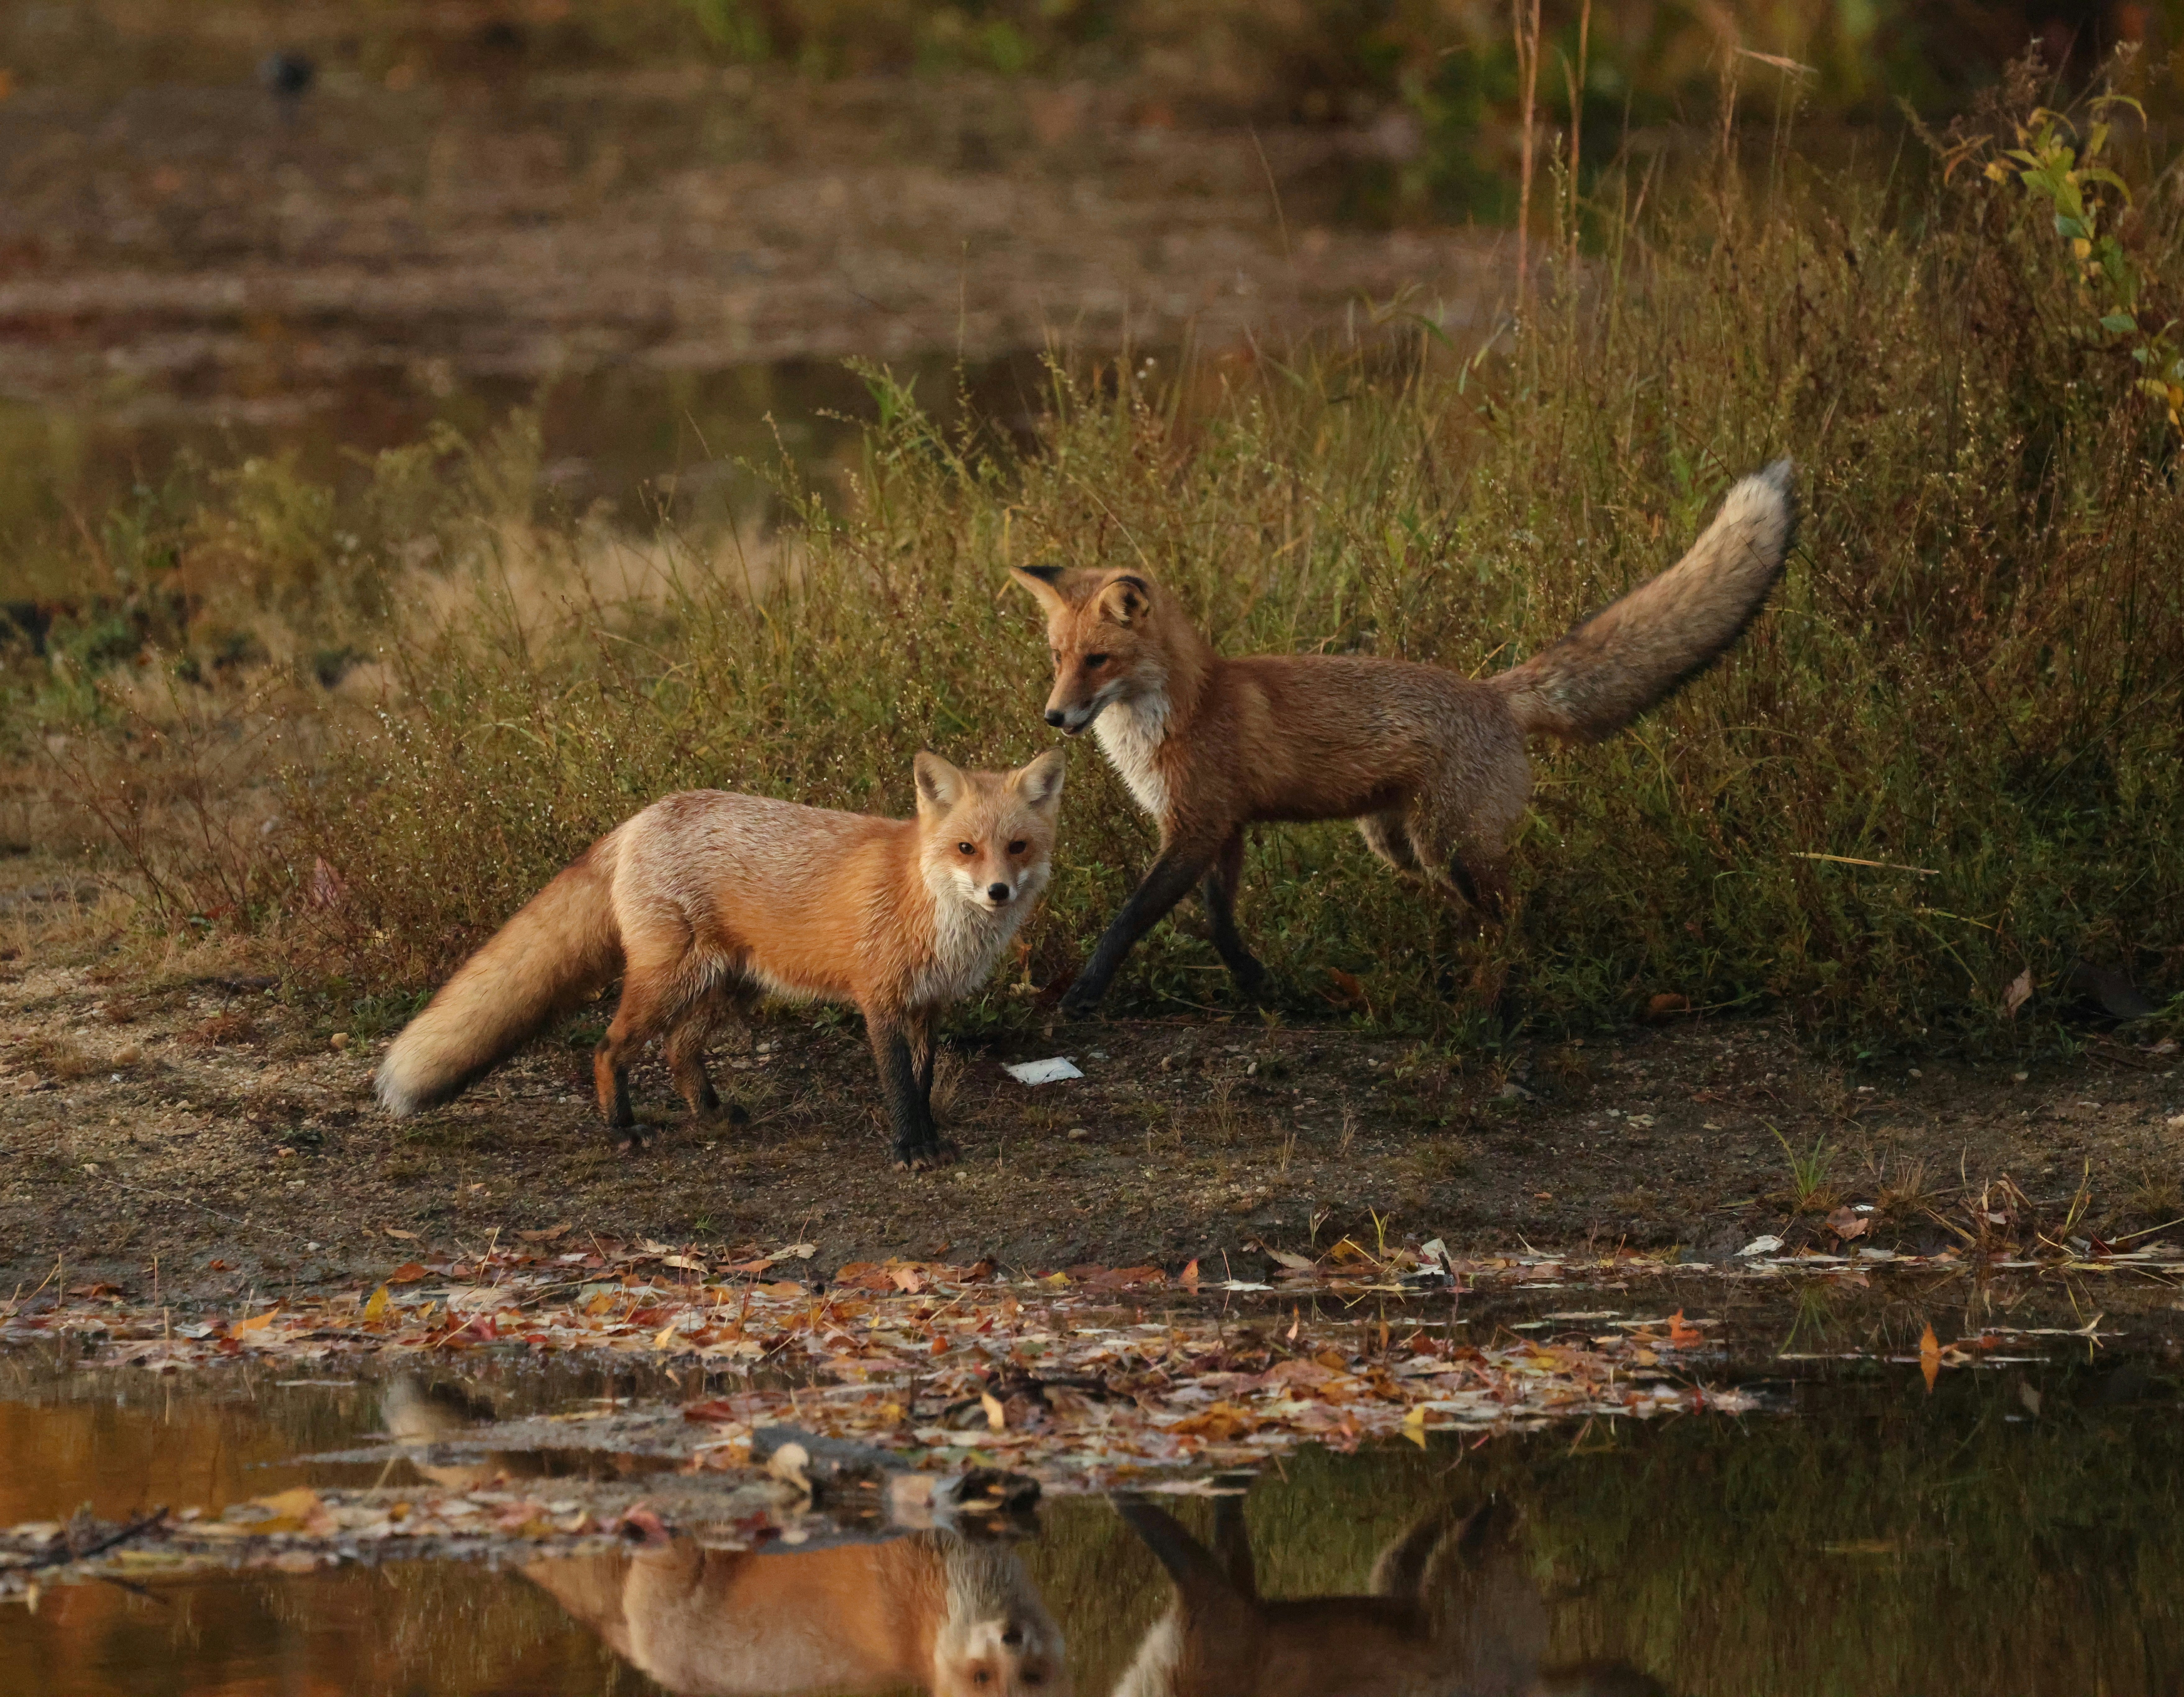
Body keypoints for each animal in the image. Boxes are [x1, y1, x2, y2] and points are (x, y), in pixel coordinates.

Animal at [373, 748, 1065, 1169]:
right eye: (966, 848)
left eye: (1017, 847)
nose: (998, 891)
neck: (926, 901)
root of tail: (641, 817)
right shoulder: (882, 1001)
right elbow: (898, 1084)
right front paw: (908, 1149)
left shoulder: (927, 1006)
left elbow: (921, 1083)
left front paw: (931, 1141)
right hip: (671, 980)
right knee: (609, 1047)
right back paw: (622, 1128)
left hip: (728, 985)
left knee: (678, 1049)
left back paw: (709, 1112)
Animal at [1010, 460, 1795, 1017]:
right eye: (1056, 657)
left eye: (1097, 661)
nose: (1054, 717)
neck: (1185, 709)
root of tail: (1492, 692)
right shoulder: (1221, 828)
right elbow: (1222, 923)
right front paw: (1261, 988)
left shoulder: (1197, 824)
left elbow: (1132, 916)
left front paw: (1082, 994)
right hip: (1402, 846)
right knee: (1474, 916)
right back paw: (1454, 979)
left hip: (1451, 846)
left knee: (1512, 916)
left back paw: (1492, 1001)